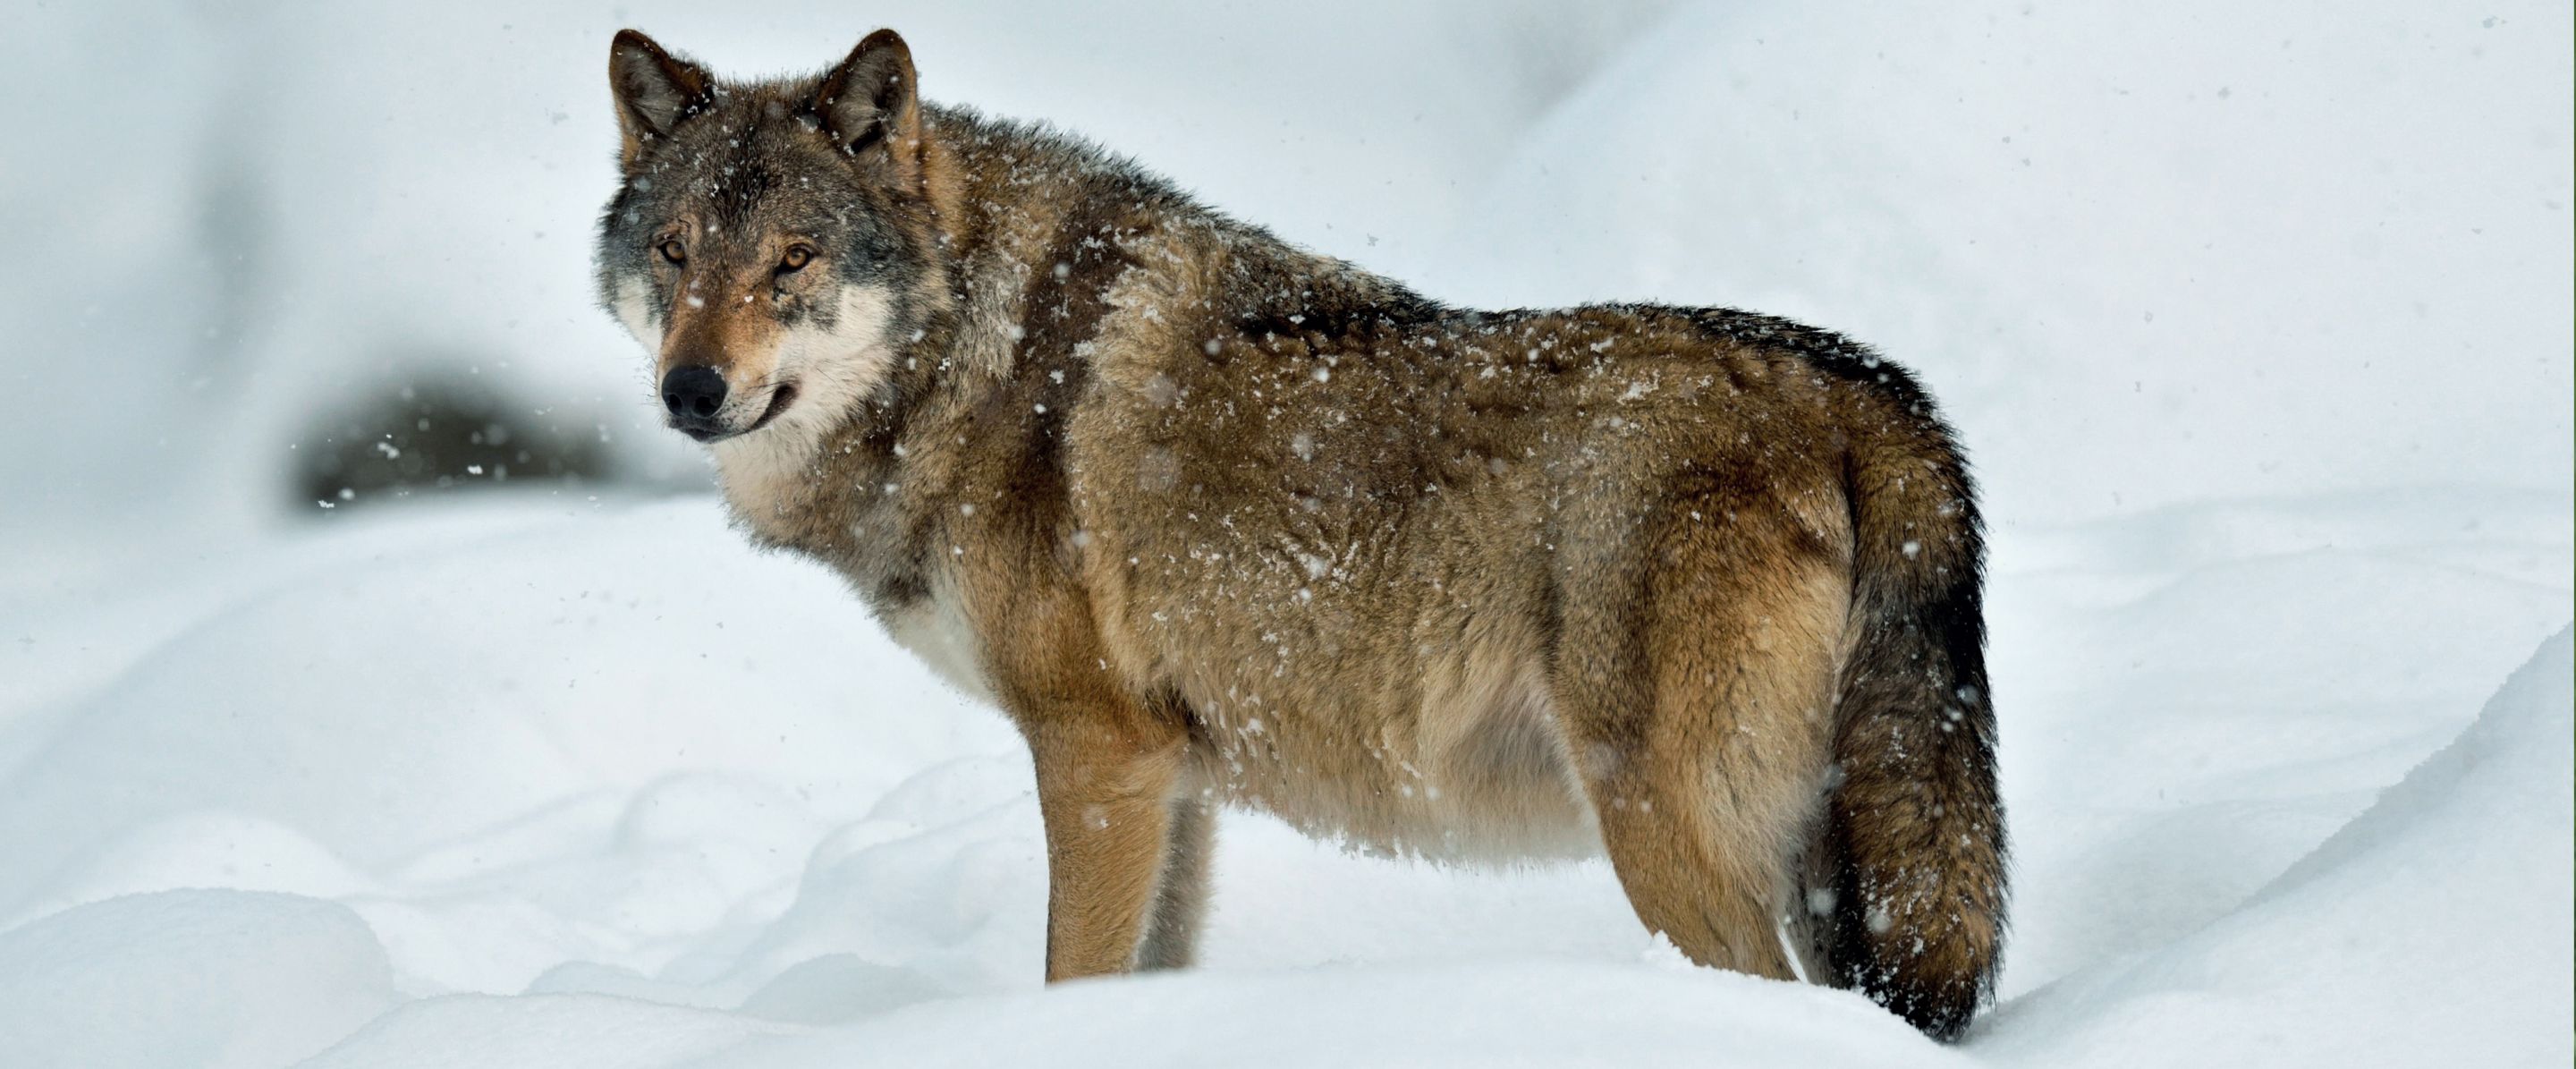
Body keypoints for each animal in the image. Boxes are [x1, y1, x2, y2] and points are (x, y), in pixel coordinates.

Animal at [594, 28, 2007, 1039]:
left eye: (791, 260)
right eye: (674, 251)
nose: (692, 389)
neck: (974, 360)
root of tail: (1867, 387)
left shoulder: (1093, 755)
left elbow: (1070, 974)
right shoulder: (1172, 779)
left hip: (1668, 833)